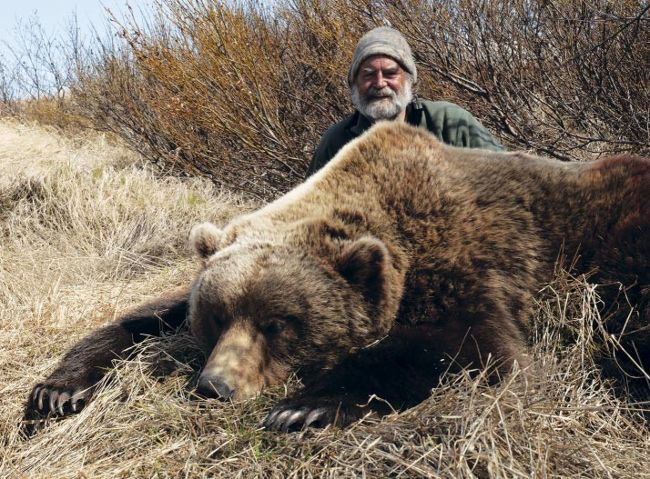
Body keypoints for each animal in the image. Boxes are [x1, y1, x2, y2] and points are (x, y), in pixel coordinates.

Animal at [23, 122, 649, 433]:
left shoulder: (467, 263)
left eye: (278, 324)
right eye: (217, 317)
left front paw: (303, 406)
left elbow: (478, 350)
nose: (214, 386)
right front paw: (57, 391)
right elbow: (142, 317)